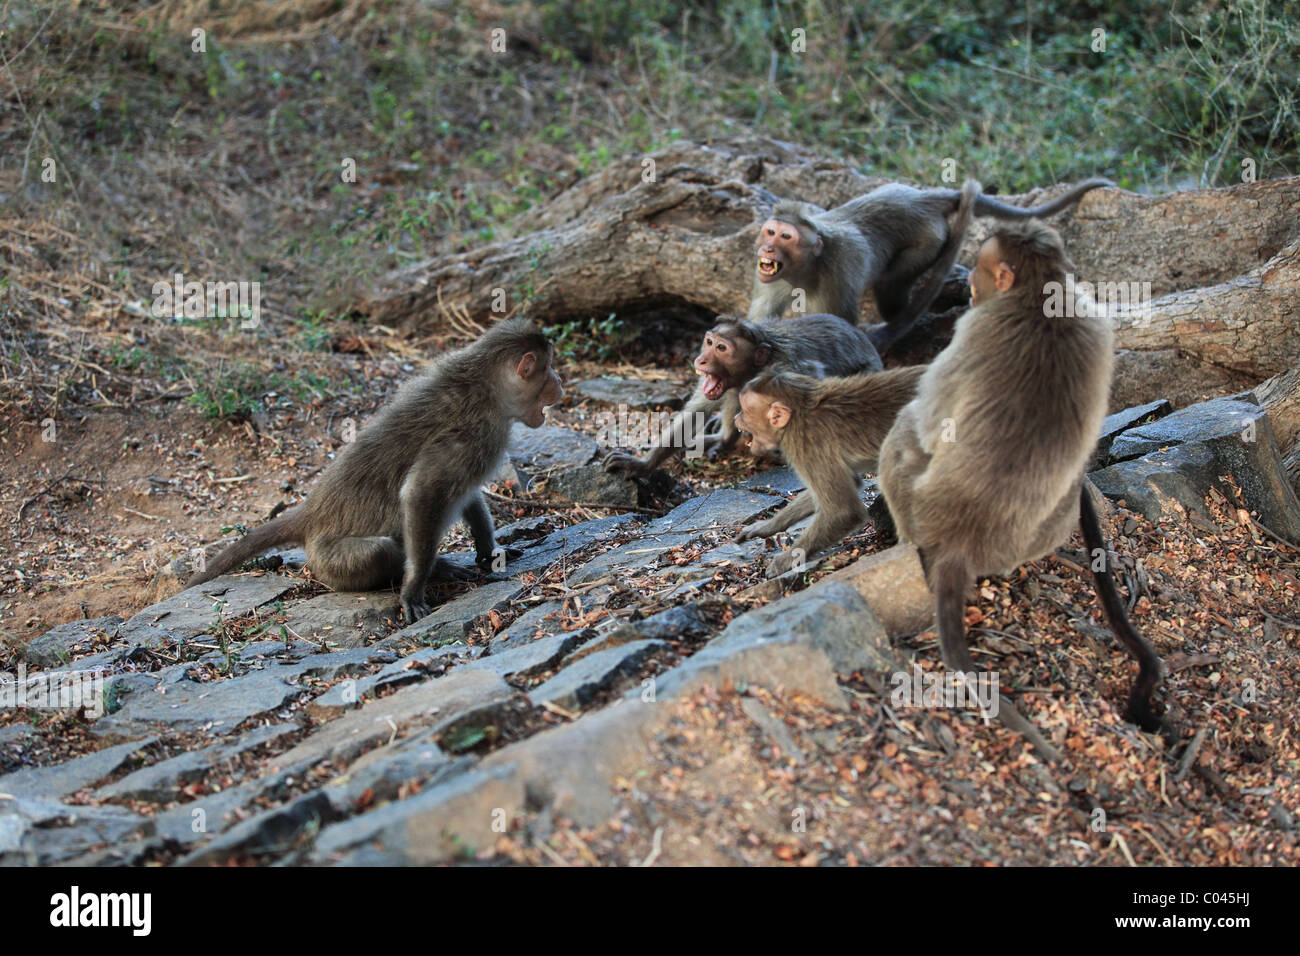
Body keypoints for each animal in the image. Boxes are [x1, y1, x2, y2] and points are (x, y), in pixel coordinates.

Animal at [187, 318, 565, 623]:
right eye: (547, 370)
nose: (560, 382)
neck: (487, 387)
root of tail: (310, 513)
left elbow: (465, 493)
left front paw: (489, 552)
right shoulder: (474, 436)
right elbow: (421, 493)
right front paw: (413, 590)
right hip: (330, 562)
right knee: (378, 549)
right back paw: (433, 569)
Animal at [602, 313, 881, 477]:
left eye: (722, 348)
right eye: (709, 342)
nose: (701, 360)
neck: (757, 366)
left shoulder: (786, 369)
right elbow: (697, 409)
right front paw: (642, 464)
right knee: (736, 394)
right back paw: (723, 439)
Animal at [733, 365, 926, 577]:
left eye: (744, 411)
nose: (736, 418)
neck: (799, 414)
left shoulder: (805, 444)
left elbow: (843, 511)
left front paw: (787, 559)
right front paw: (766, 526)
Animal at [750, 177, 1112, 355]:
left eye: (786, 236)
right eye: (770, 232)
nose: (767, 246)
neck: (808, 266)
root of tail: (922, 197)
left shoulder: (837, 275)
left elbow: (835, 330)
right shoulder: (775, 279)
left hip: (927, 236)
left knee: (890, 290)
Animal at [876, 219, 1165, 760]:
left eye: (981, 273)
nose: (970, 288)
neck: (1038, 296)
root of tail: (961, 541)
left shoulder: (971, 330)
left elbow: (926, 424)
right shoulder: (1096, 324)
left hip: (918, 504)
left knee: (901, 439)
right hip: (1035, 530)